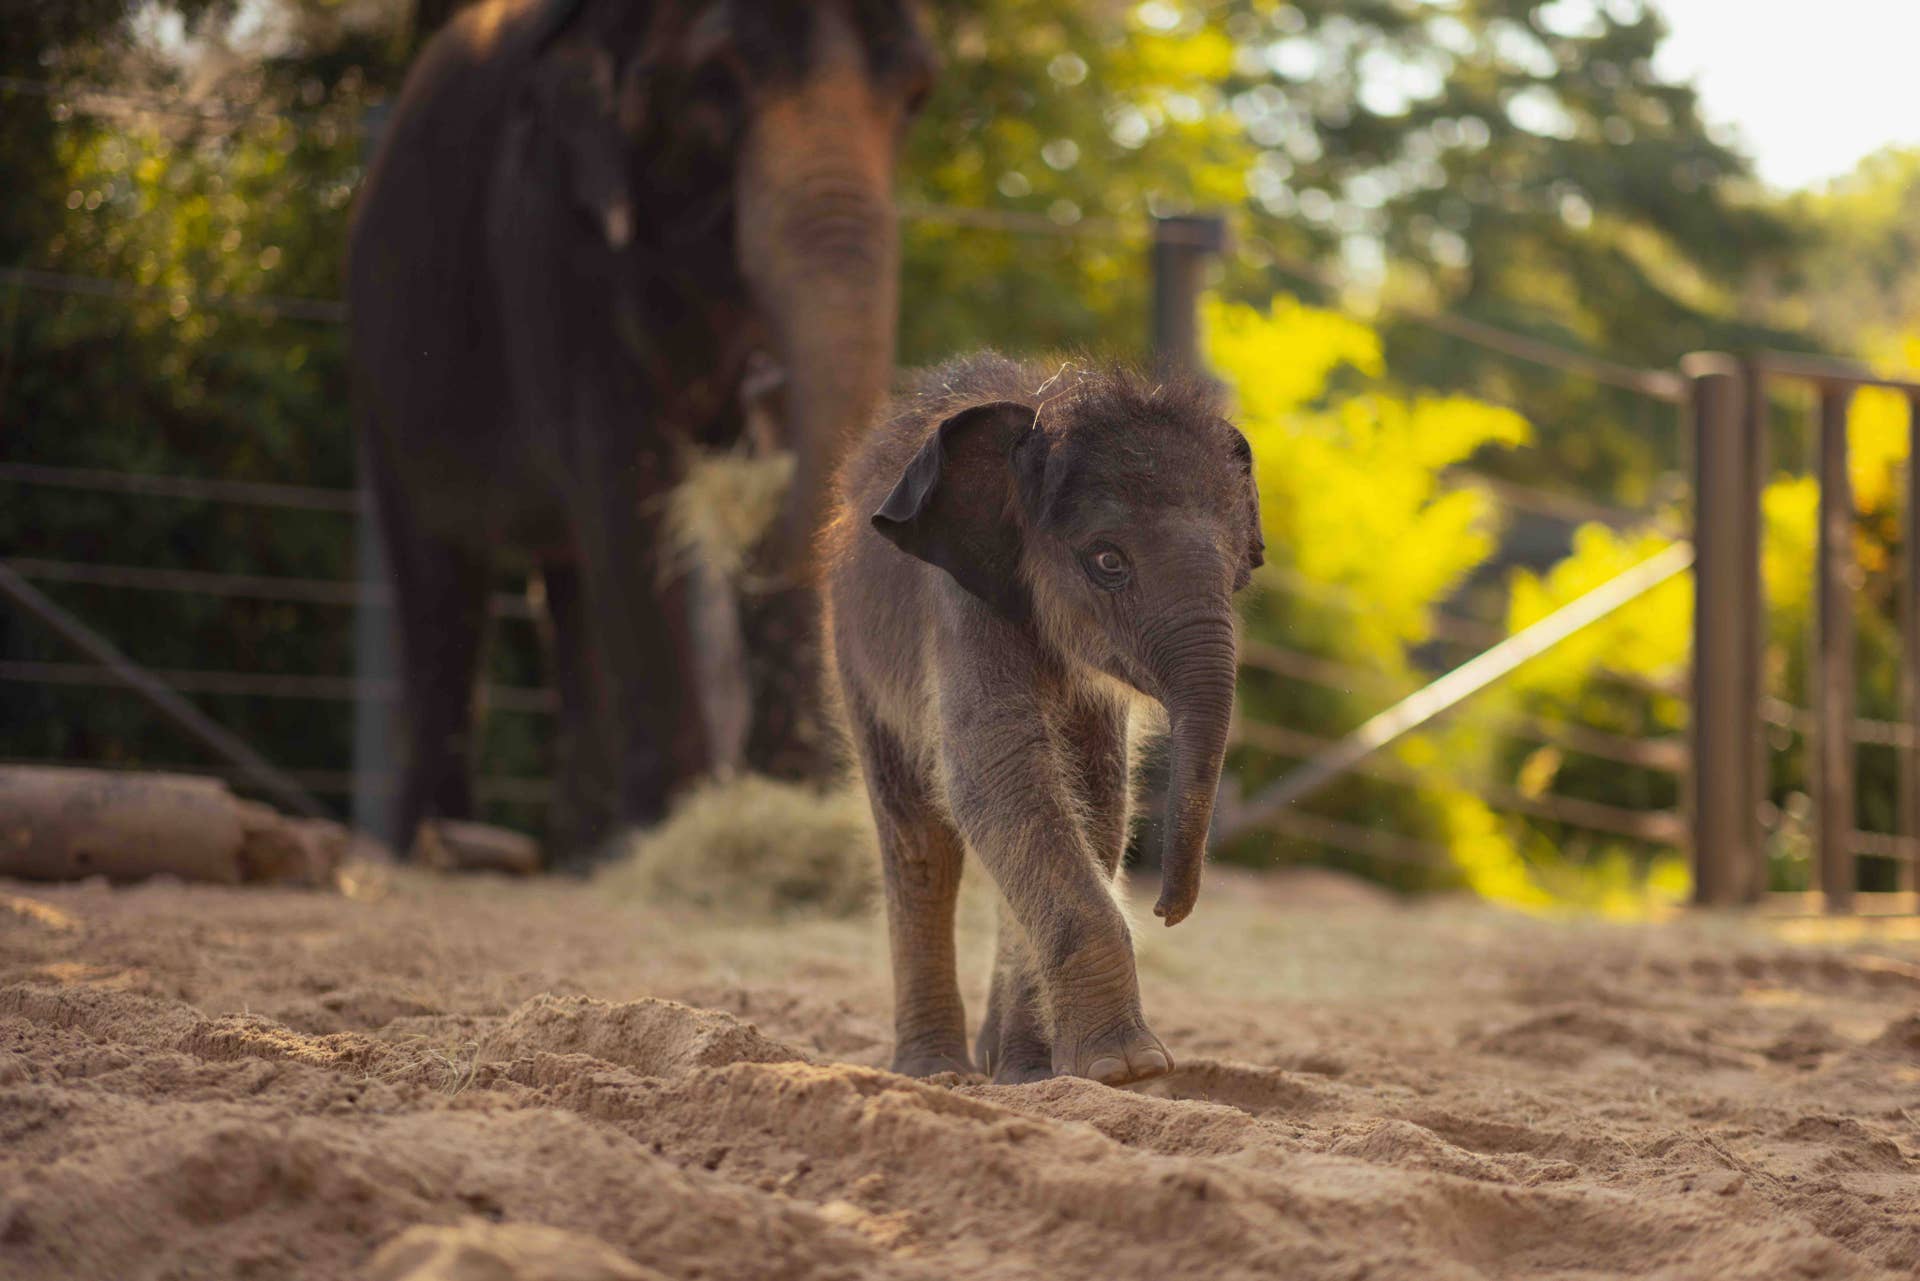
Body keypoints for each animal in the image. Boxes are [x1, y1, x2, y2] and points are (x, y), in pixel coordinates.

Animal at [347, 0, 934, 866]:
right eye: (717, 81)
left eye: (915, 98)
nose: (762, 385)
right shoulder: (546, 233)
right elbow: (626, 476)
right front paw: (677, 825)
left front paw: (786, 800)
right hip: (381, 378)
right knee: (443, 581)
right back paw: (440, 847)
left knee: (568, 586)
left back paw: (579, 851)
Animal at [820, 353, 1264, 1085]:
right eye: (1108, 561)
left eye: (1237, 575)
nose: (1166, 910)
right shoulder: (959, 603)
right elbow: (997, 777)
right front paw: (1126, 1068)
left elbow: (1094, 798)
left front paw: (1049, 1074)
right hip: (852, 657)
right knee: (919, 843)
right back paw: (932, 1070)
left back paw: (1009, 1069)